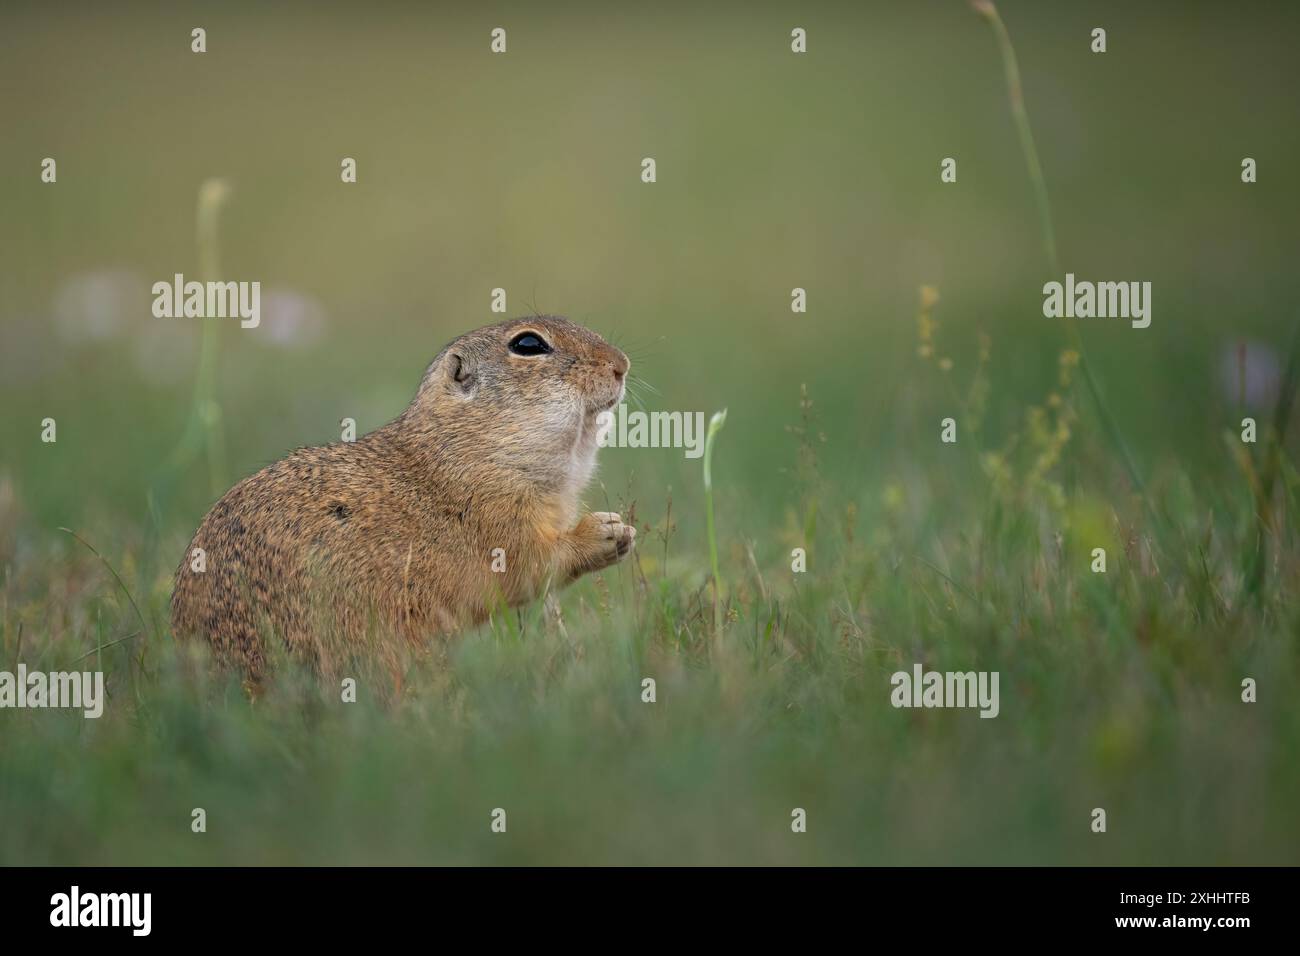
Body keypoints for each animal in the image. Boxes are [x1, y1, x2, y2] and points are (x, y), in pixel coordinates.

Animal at [169, 315, 635, 675]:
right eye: (528, 344)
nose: (622, 364)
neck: (470, 447)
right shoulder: (498, 517)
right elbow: (533, 563)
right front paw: (607, 531)